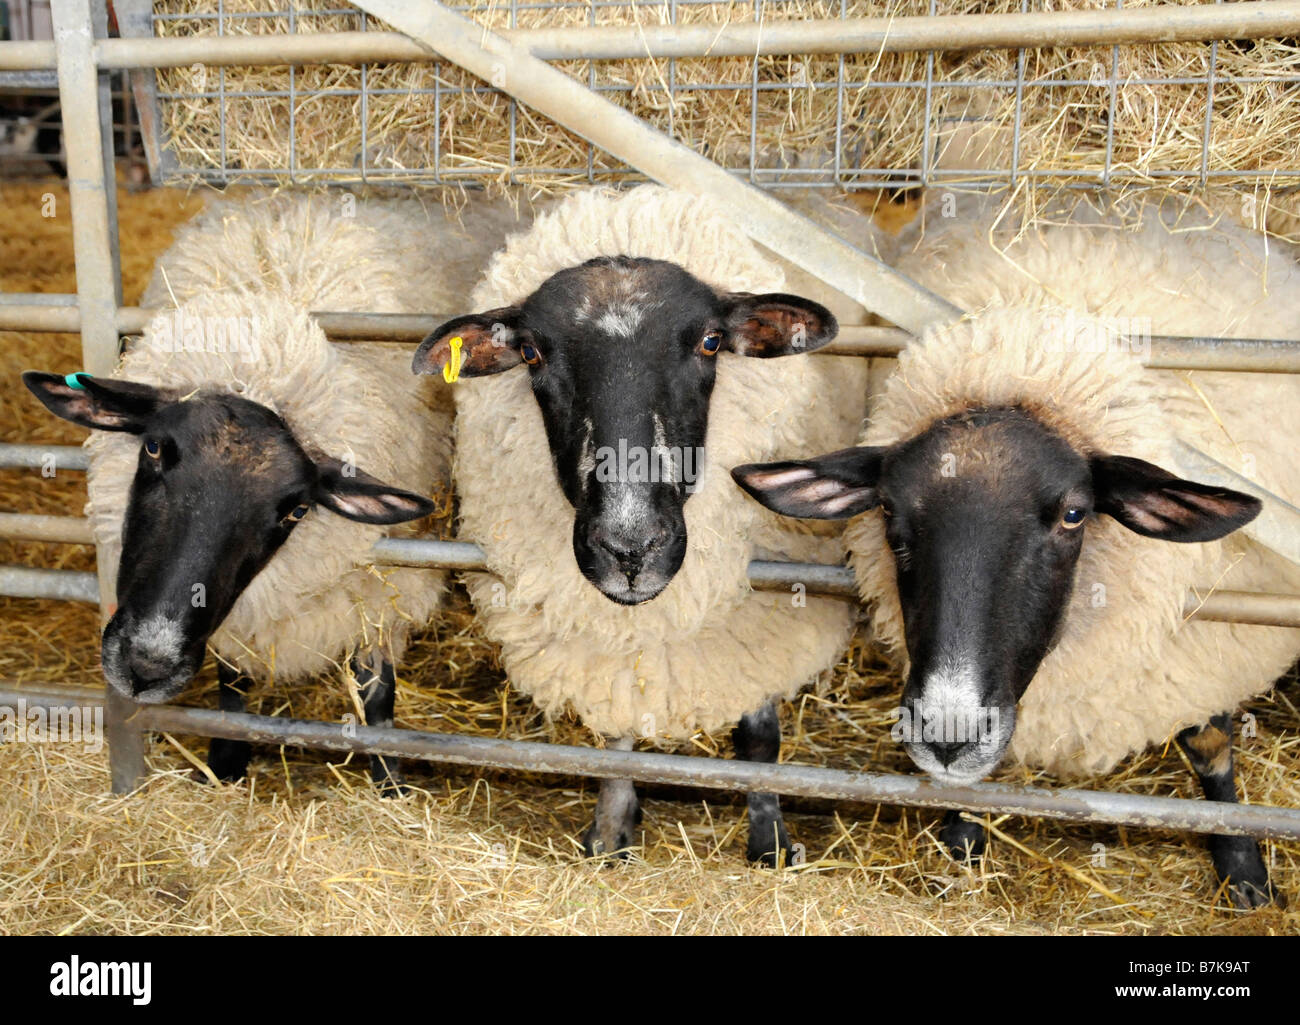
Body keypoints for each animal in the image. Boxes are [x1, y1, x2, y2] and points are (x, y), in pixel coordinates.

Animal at [24, 192, 525, 790]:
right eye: (154, 449)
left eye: (296, 510)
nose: (147, 667)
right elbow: (232, 680)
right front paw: (225, 760)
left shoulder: (383, 593)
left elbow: (376, 693)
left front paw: (389, 782)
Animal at [411, 185, 871, 864]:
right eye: (531, 351)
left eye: (711, 342)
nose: (630, 552)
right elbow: (616, 733)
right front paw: (610, 829)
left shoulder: (765, 609)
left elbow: (759, 738)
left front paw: (770, 840)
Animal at [732, 195, 1300, 906]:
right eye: (888, 509)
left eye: (1074, 514)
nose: (949, 734)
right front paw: (962, 842)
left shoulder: (1205, 642)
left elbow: (1212, 741)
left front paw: (1242, 867)